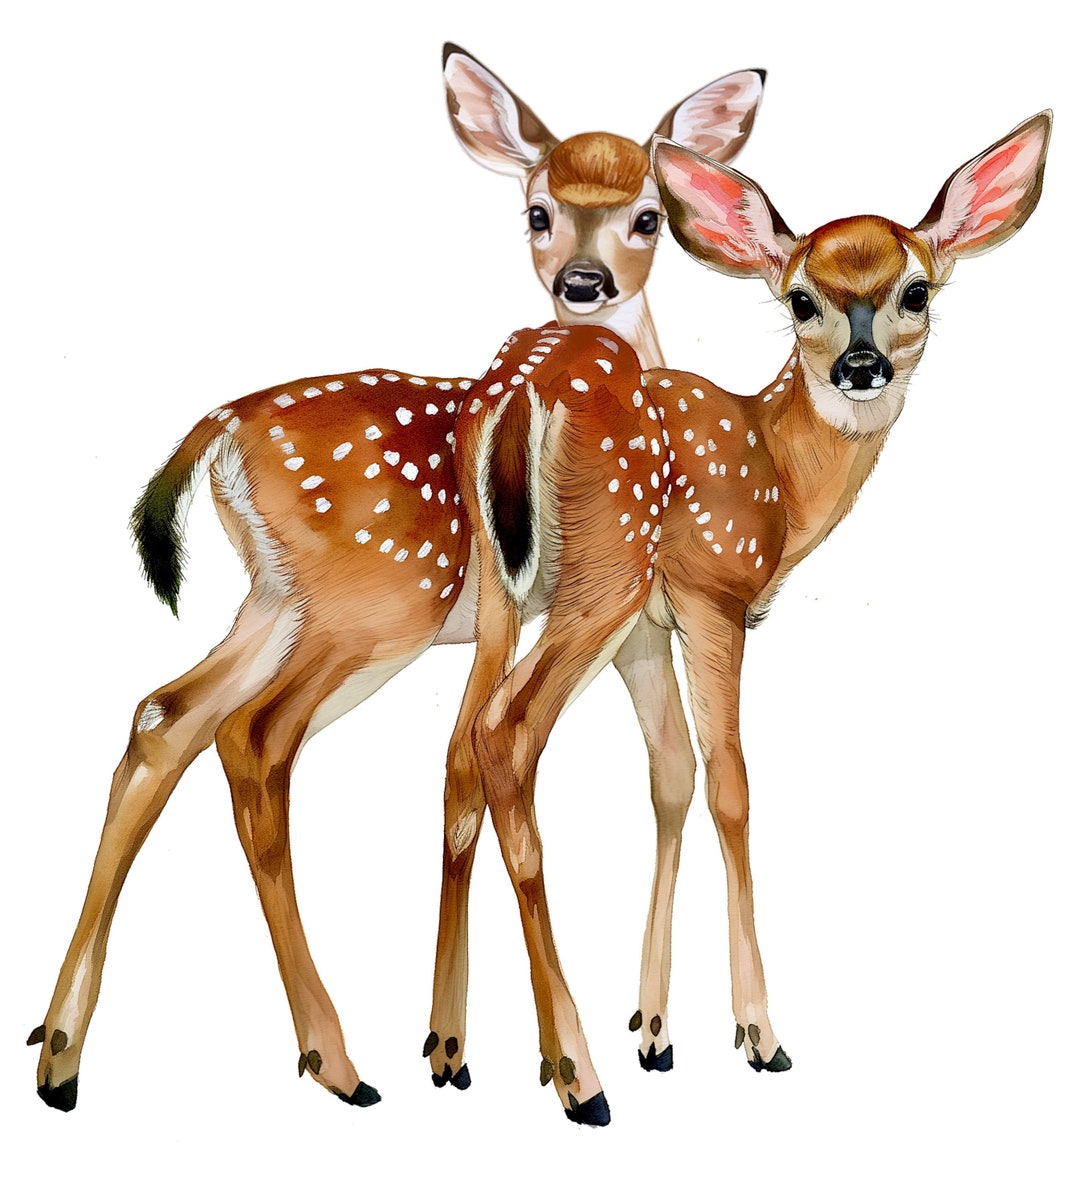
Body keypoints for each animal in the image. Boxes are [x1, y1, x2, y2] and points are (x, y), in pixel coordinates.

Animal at [28, 47, 765, 1112]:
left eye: (648, 216)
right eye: (535, 211)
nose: (582, 282)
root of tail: (215, 433)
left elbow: (460, 773)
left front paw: (458, 1046)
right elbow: (479, 766)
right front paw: (496, 1050)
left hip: (277, 602)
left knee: (165, 717)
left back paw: (59, 1051)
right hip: (372, 610)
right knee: (254, 740)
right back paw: (335, 1060)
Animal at [434, 112, 1050, 1125]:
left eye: (915, 289)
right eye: (801, 300)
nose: (862, 365)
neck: (781, 482)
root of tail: (517, 390)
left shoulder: (647, 632)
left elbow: (670, 779)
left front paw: (654, 1029)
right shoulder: (710, 595)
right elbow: (730, 784)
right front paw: (758, 1034)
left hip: (500, 587)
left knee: (459, 749)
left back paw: (451, 1050)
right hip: (600, 574)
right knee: (506, 734)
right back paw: (576, 1077)